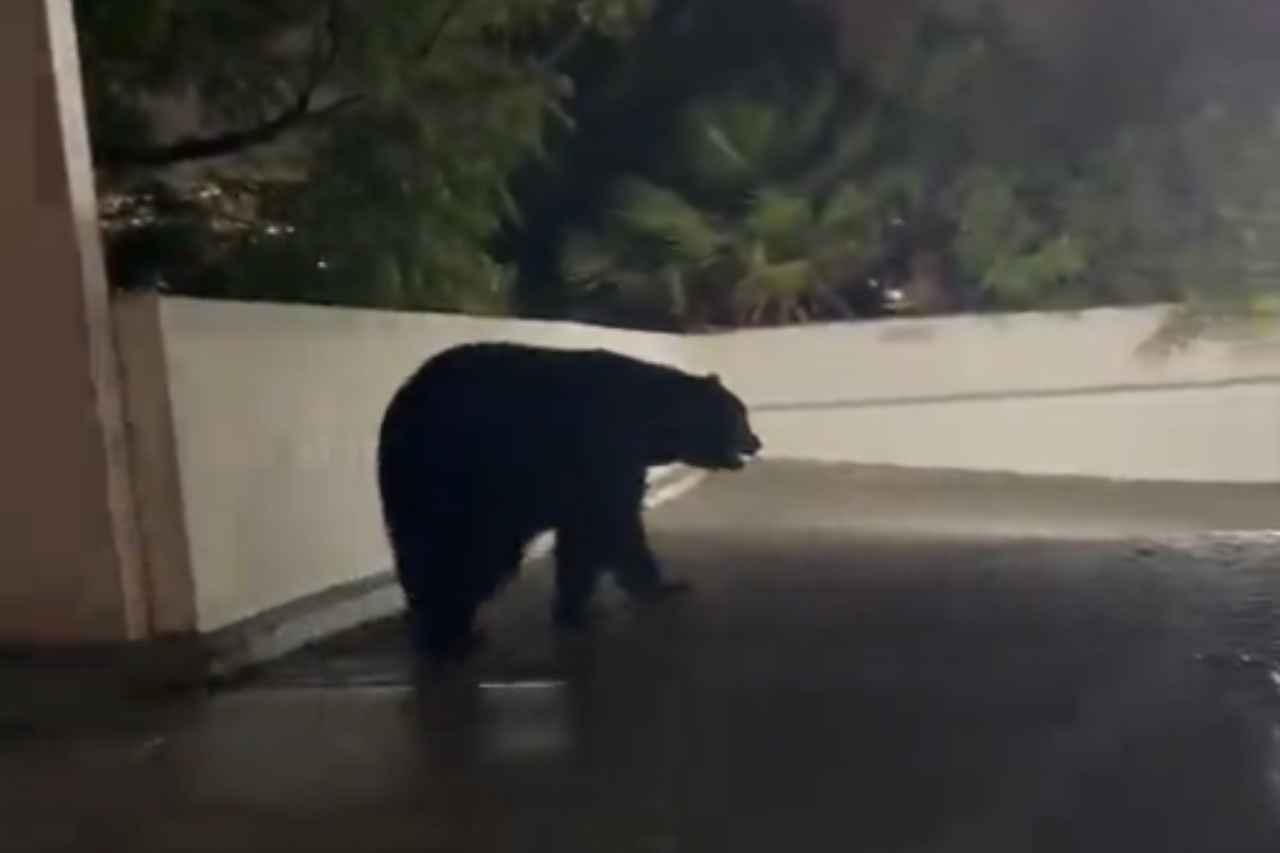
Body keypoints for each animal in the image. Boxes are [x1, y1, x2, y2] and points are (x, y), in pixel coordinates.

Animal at [376, 342, 761, 659]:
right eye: (740, 415)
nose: (757, 441)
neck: (648, 424)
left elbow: (583, 539)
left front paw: (573, 608)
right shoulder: (601, 450)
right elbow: (614, 526)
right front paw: (664, 586)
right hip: (465, 476)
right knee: (474, 554)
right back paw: (452, 633)